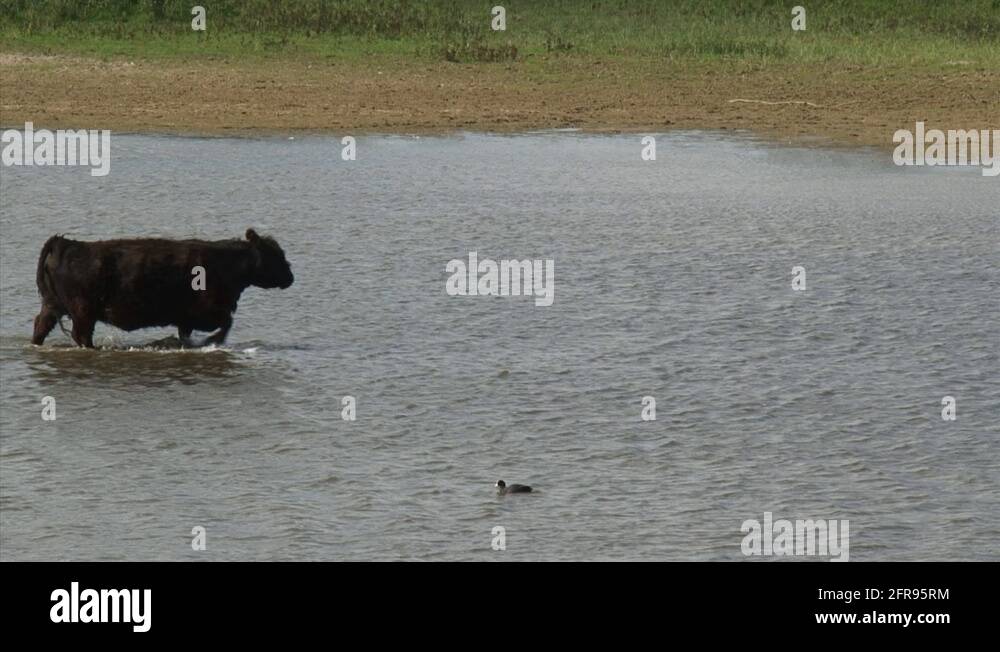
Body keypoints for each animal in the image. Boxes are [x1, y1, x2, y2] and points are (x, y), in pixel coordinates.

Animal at [32, 229, 293, 348]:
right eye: (276, 255)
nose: (291, 277)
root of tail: (66, 243)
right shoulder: (206, 312)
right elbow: (227, 322)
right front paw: (212, 341)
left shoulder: (187, 318)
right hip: (83, 312)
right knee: (81, 335)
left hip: (54, 306)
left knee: (41, 326)